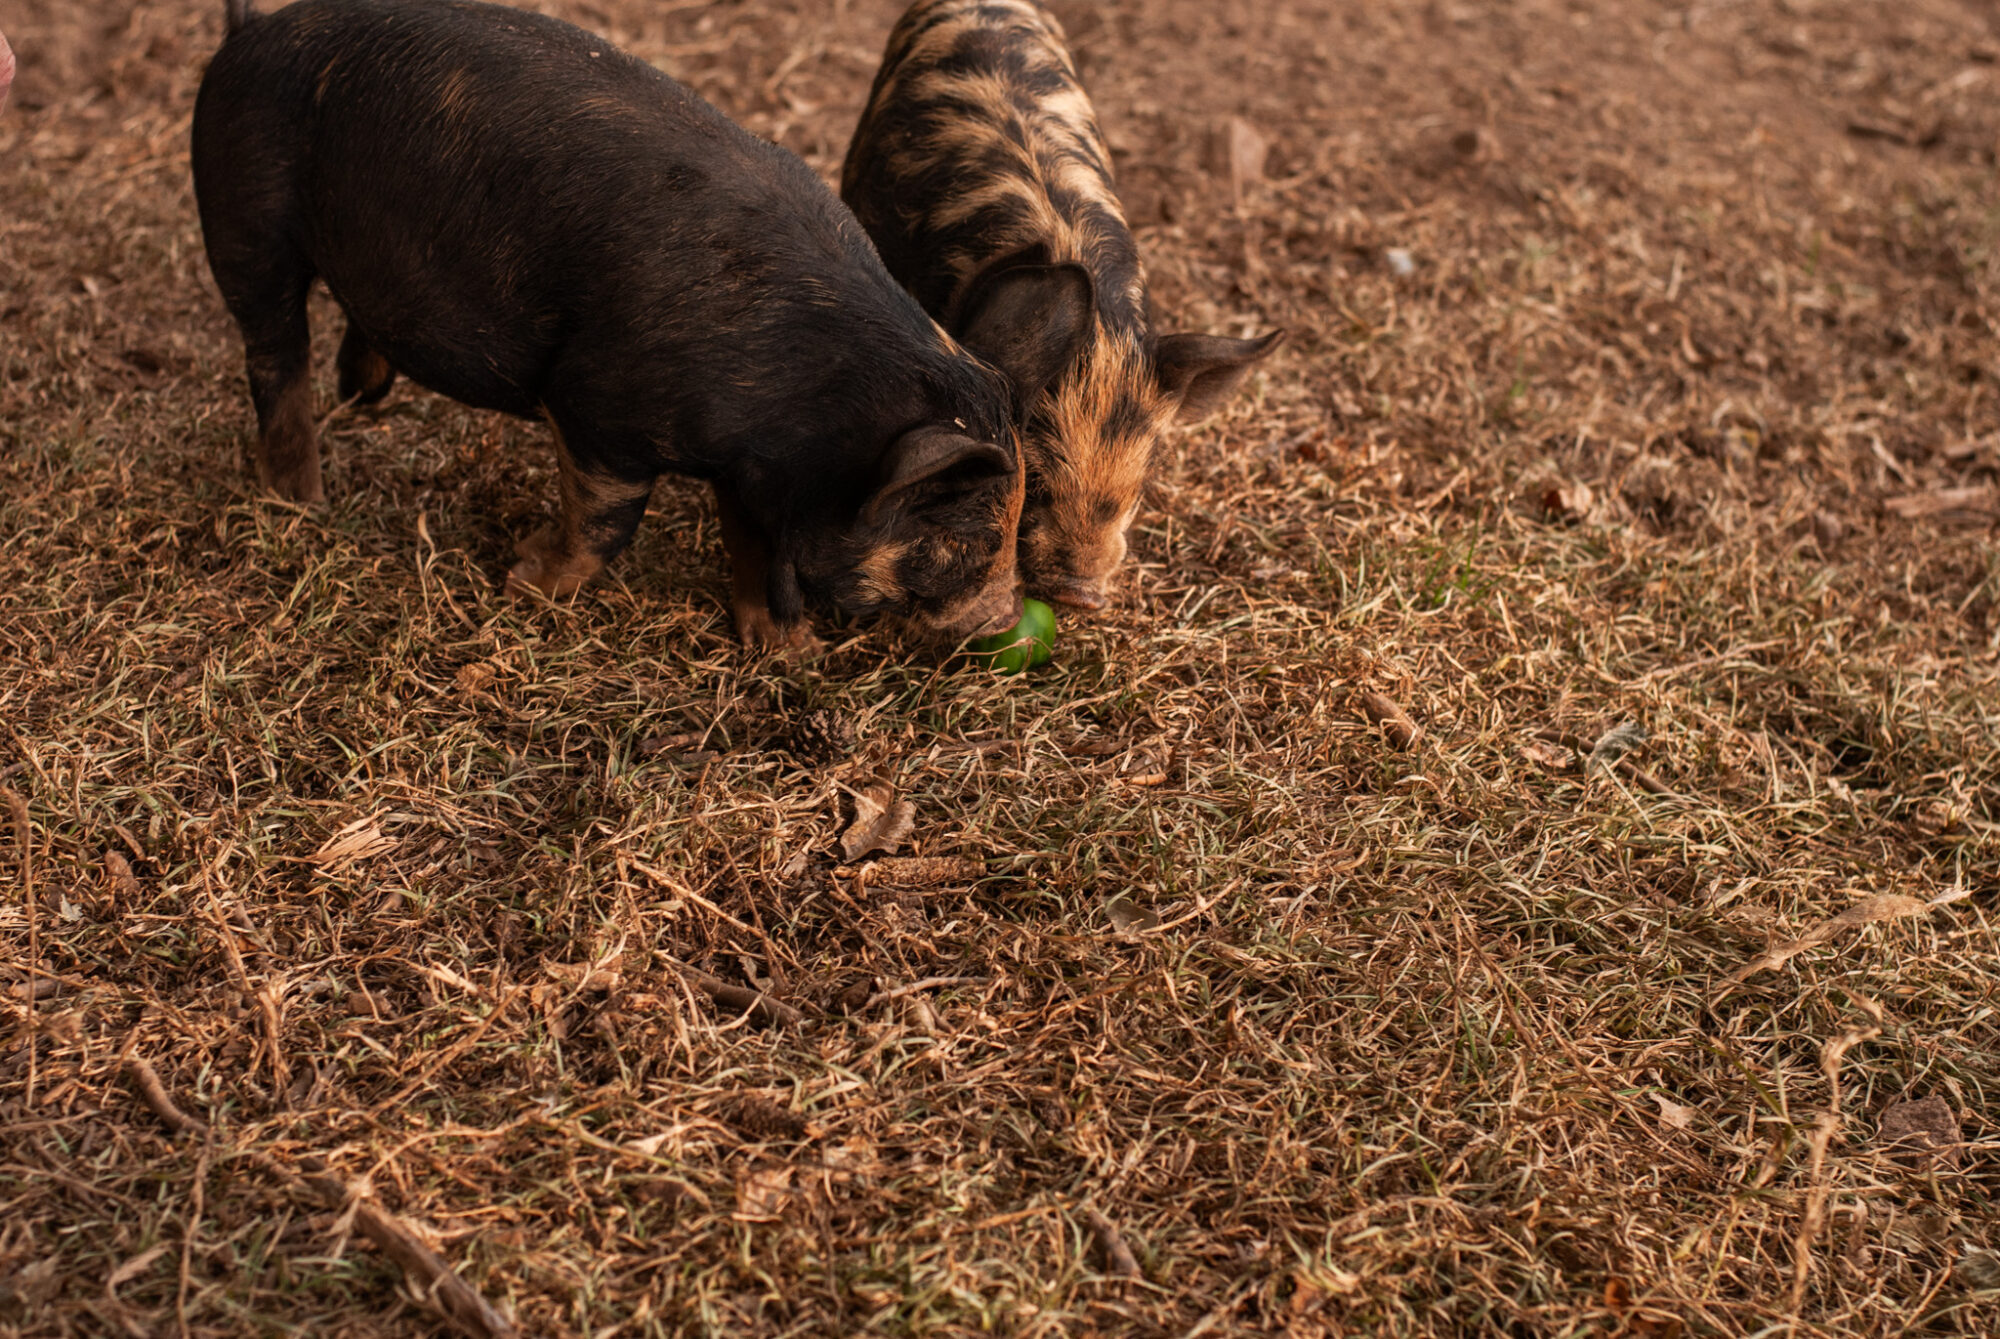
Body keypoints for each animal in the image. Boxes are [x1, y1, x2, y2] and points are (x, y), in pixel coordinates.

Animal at [192, 0, 1095, 650]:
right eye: (960, 544)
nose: (1001, 620)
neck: (809, 411)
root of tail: (251, 30)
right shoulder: (597, 410)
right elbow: (607, 524)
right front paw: (523, 579)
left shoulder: (750, 471)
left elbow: (754, 545)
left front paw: (783, 650)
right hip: (244, 221)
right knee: (274, 356)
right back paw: (301, 500)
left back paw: (362, 401)